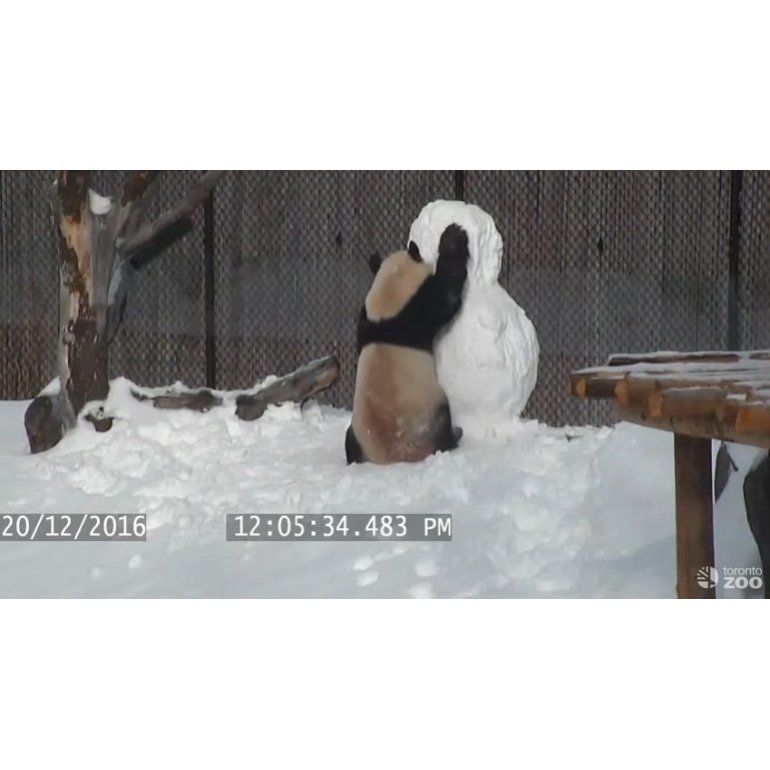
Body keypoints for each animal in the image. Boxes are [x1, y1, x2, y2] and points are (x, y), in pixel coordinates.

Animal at [345, 223, 470, 465]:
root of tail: (393, 456)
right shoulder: (420, 309)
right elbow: (448, 296)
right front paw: (453, 236)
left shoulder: (365, 322)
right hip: (428, 411)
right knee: (443, 423)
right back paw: (454, 436)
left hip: (358, 432)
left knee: (349, 440)